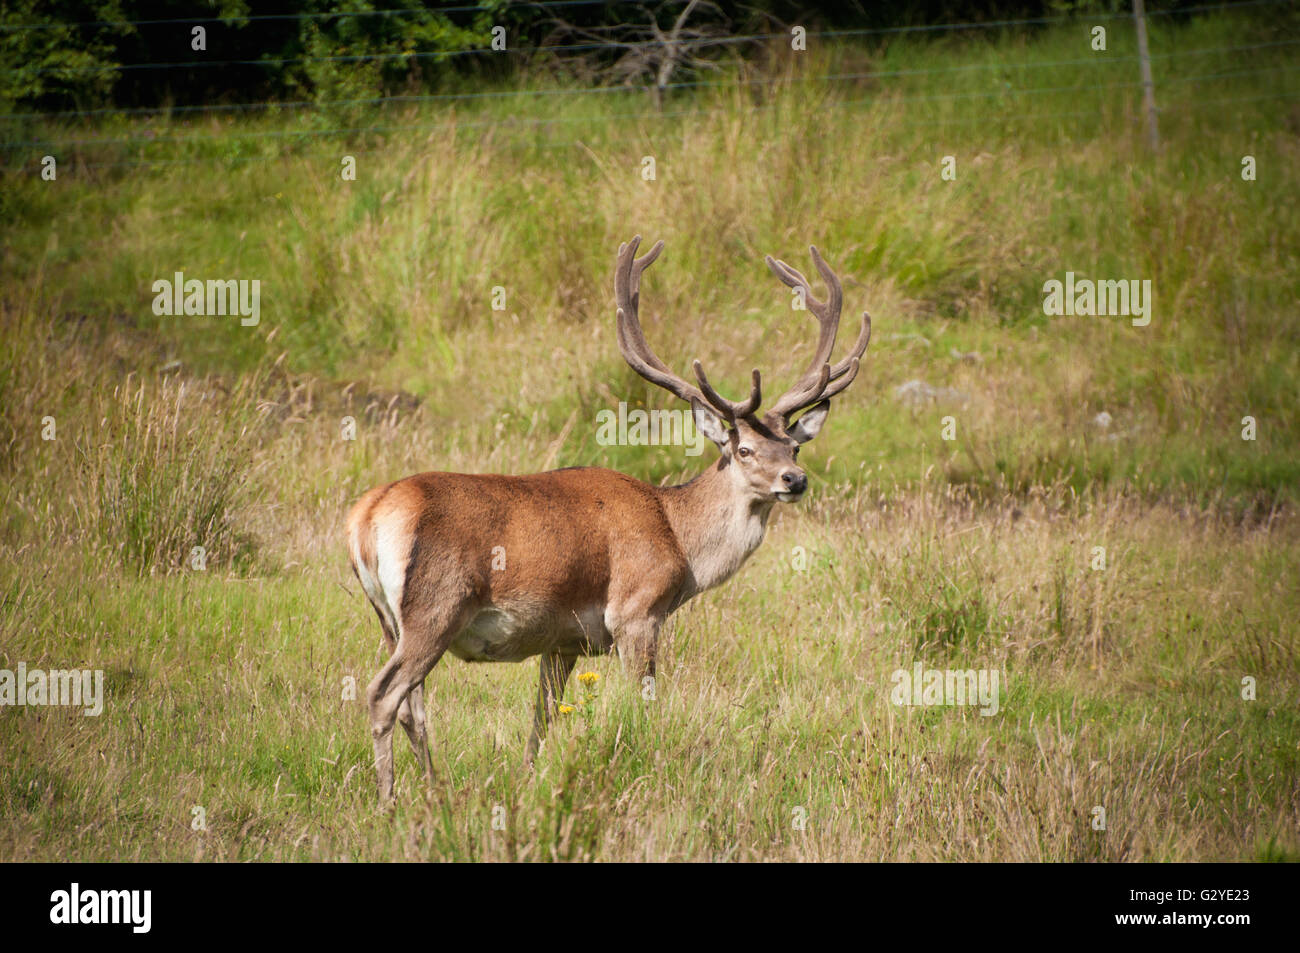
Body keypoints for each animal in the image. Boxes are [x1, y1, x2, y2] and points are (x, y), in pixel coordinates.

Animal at [346, 236, 871, 804]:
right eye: (745, 450)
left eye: (794, 446)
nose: (794, 480)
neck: (678, 539)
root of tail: (366, 516)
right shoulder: (636, 610)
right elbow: (642, 706)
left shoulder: (561, 640)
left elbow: (542, 720)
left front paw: (528, 782)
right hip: (436, 606)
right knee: (383, 694)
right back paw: (388, 802)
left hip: (390, 619)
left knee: (412, 706)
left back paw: (434, 790)